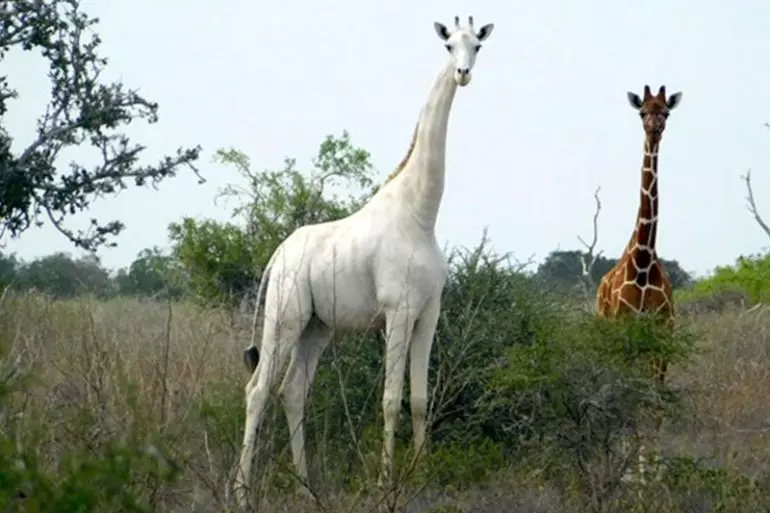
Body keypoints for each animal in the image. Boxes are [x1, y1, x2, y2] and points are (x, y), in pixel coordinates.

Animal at [234, 15, 496, 504]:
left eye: (478, 46)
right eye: (448, 45)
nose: (463, 74)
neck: (421, 214)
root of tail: (277, 255)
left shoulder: (429, 313)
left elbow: (420, 399)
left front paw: (421, 476)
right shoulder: (398, 310)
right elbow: (391, 399)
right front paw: (385, 483)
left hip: (317, 327)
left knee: (292, 390)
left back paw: (306, 487)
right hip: (285, 316)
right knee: (257, 389)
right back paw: (241, 492)